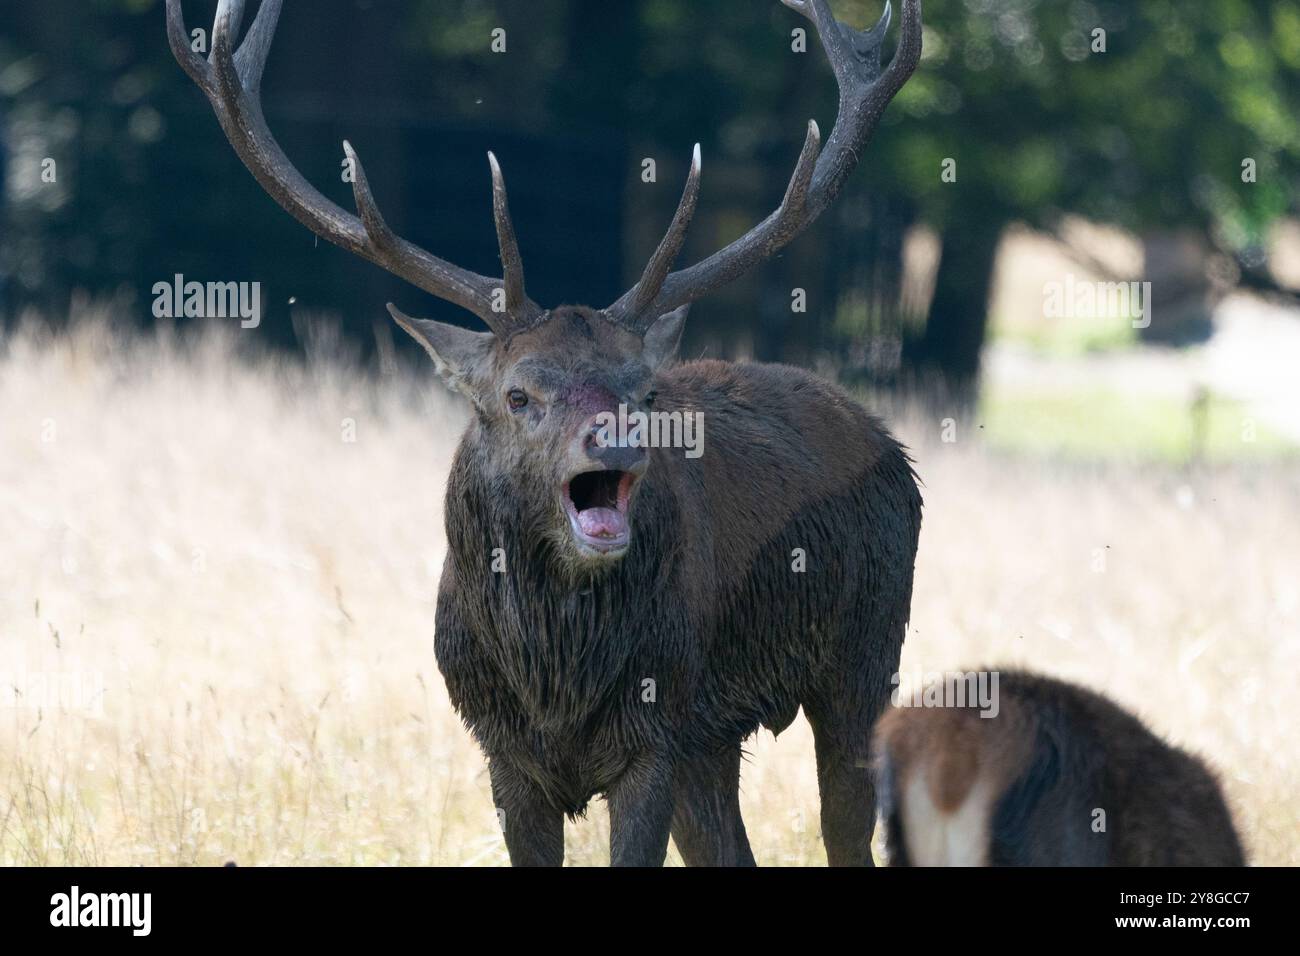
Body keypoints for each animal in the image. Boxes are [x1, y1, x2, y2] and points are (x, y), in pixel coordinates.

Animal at [168, 0, 924, 866]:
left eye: (644, 390)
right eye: (519, 394)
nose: (616, 443)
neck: (555, 682)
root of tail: (890, 444)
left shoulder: (656, 733)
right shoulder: (503, 749)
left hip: (864, 654)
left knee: (849, 828)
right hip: (715, 734)